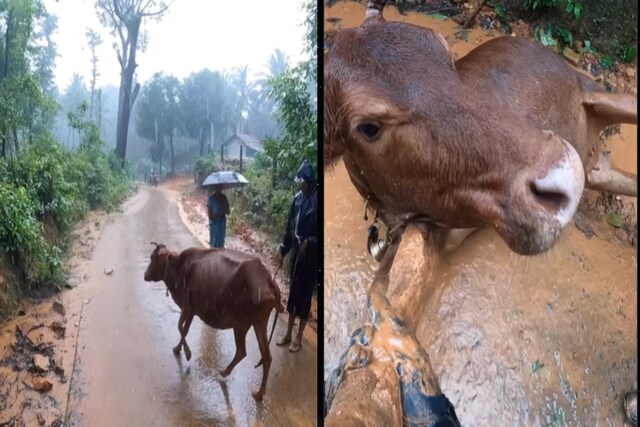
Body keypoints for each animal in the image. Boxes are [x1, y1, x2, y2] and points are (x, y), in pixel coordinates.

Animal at [143, 242, 285, 401]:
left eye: (152, 257)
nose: (145, 275)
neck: (178, 266)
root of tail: (268, 278)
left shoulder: (186, 306)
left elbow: (180, 326)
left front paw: (187, 353)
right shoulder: (192, 310)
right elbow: (185, 329)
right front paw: (178, 348)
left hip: (241, 324)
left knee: (242, 351)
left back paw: (225, 372)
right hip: (258, 322)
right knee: (266, 356)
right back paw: (259, 393)